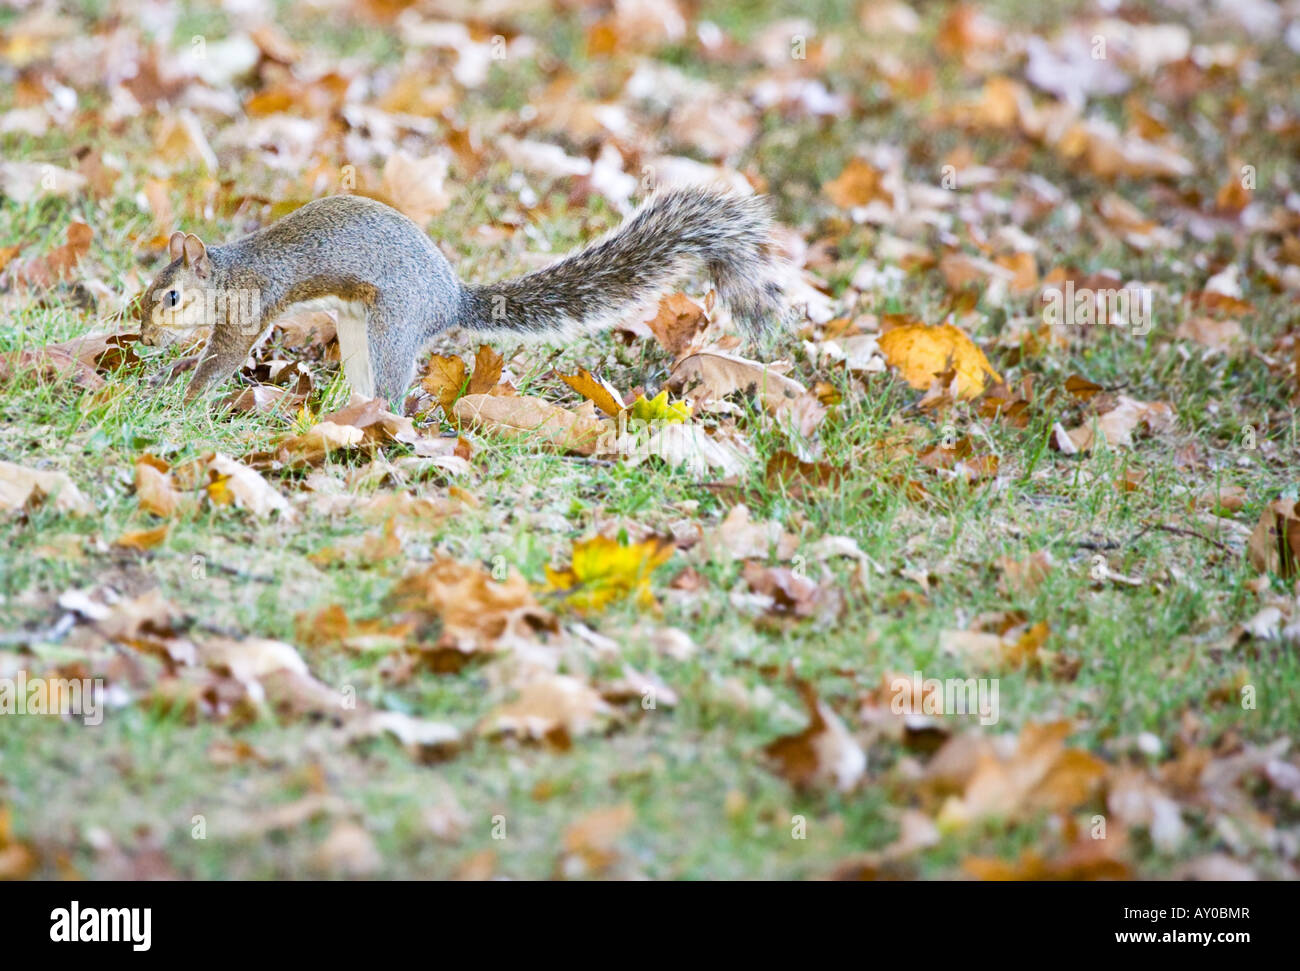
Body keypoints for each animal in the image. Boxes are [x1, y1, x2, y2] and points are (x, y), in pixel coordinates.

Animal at [139, 186, 786, 404]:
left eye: (169, 297)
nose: (143, 335)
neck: (227, 273)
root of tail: (450, 300)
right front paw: (166, 375)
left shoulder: (251, 307)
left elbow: (221, 358)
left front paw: (181, 392)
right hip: (357, 330)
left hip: (392, 326)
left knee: (395, 391)